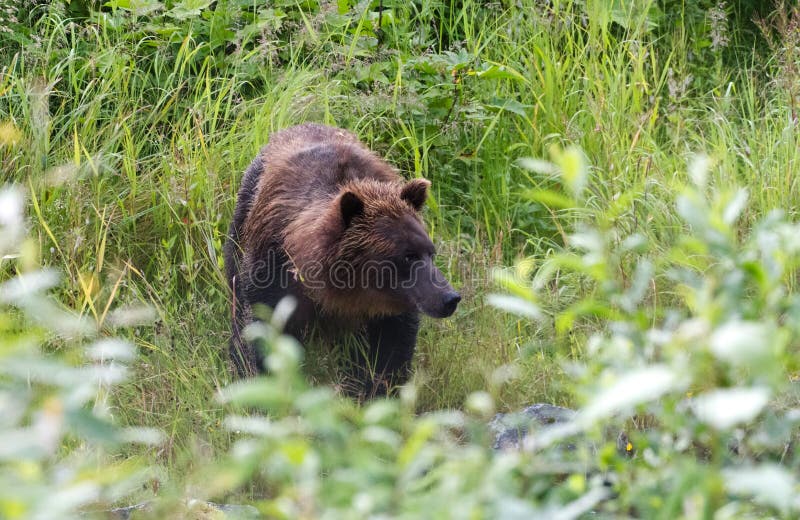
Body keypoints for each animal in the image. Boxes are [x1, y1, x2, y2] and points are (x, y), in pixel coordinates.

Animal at [224, 123, 461, 397]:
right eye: (408, 255)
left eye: (430, 252)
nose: (450, 298)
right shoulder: (273, 270)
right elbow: (265, 328)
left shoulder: (390, 307)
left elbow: (390, 349)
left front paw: (377, 390)